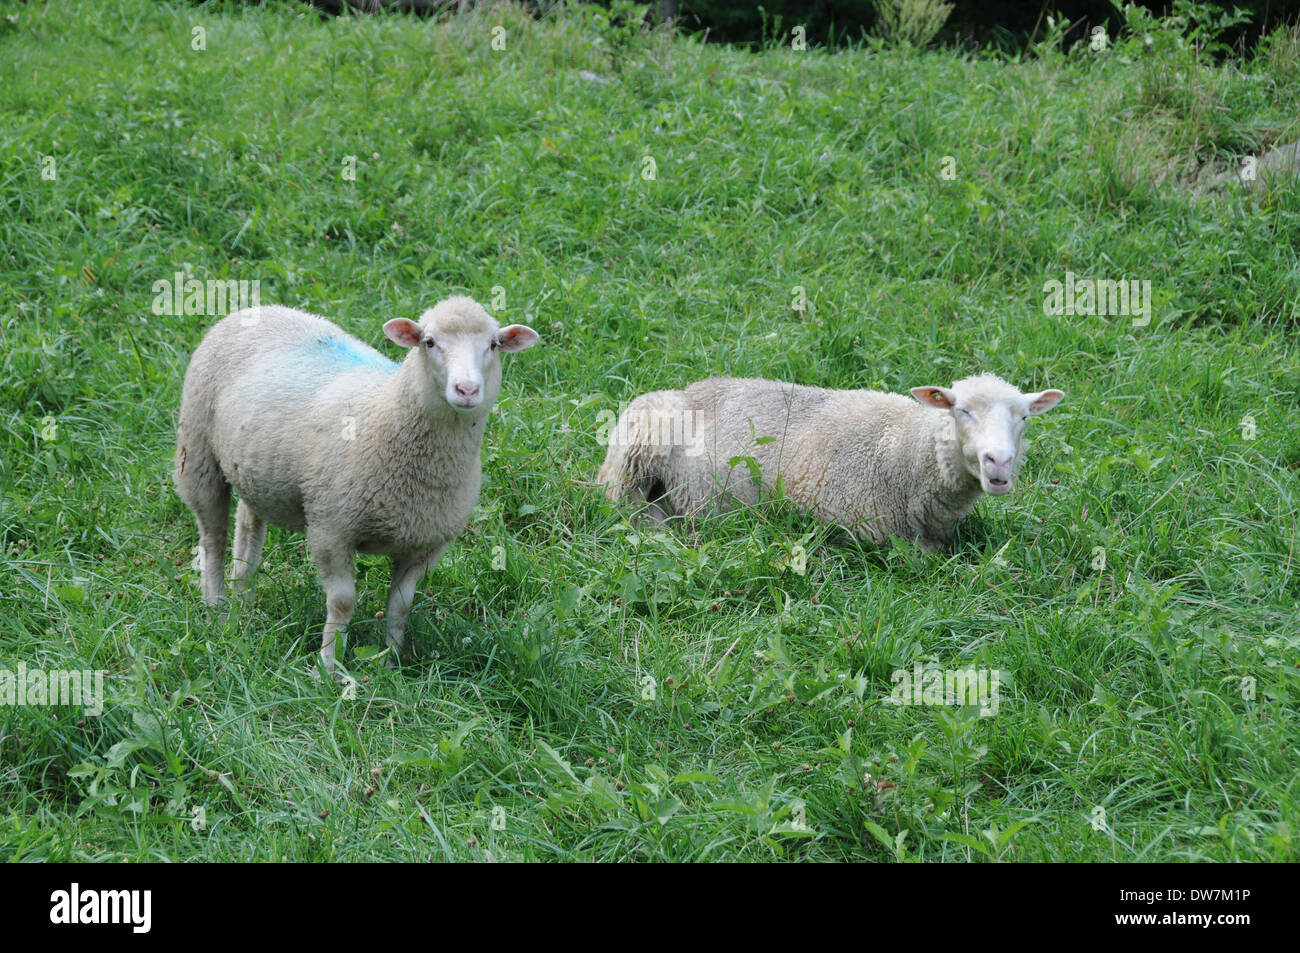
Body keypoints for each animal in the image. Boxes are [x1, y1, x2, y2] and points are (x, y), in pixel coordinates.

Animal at [173, 296, 539, 673]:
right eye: (429, 342)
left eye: (493, 345)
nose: (467, 390)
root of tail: (257, 309)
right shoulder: (330, 530)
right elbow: (342, 602)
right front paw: (328, 667)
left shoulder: (426, 545)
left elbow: (400, 606)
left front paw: (390, 663)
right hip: (198, 454)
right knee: (212, 539)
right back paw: (217, 608)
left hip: (256, 468)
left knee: (248, 526)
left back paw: (244, 598)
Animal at [597, 373, 1064, 552]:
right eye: (961, 410)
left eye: (1024, 417)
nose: (998, 462)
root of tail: (687, 388)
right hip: (638, 446)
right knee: (618, 505)